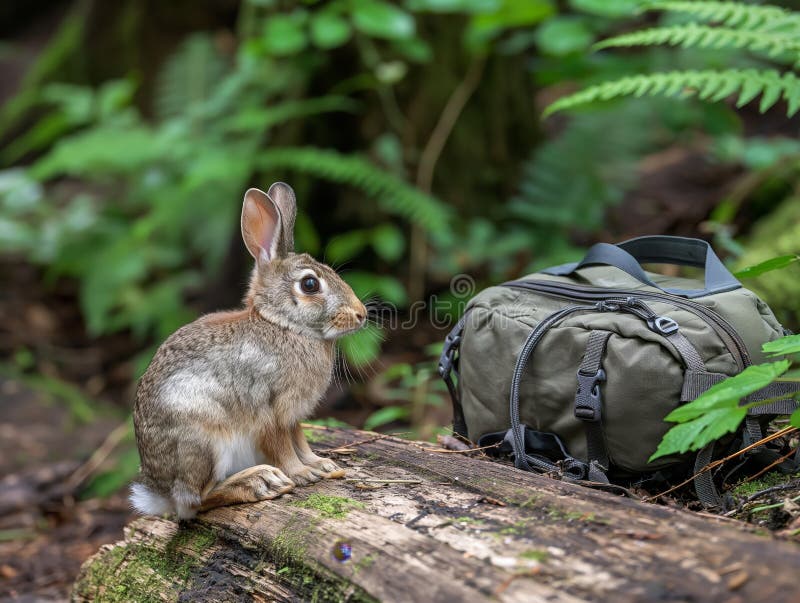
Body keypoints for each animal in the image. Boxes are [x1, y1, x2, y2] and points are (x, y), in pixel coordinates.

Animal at [130, 182, 367, 519]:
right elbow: (283, 447)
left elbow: (300, 441)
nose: (361, 314)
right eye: (310, 284)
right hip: (205, 442)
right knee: (194, 502)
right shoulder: (271, 410)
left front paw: (321, 465)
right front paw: (302, 474)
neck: (283, 325)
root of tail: (156, 493)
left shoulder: (293, 416)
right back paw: (261, 482)